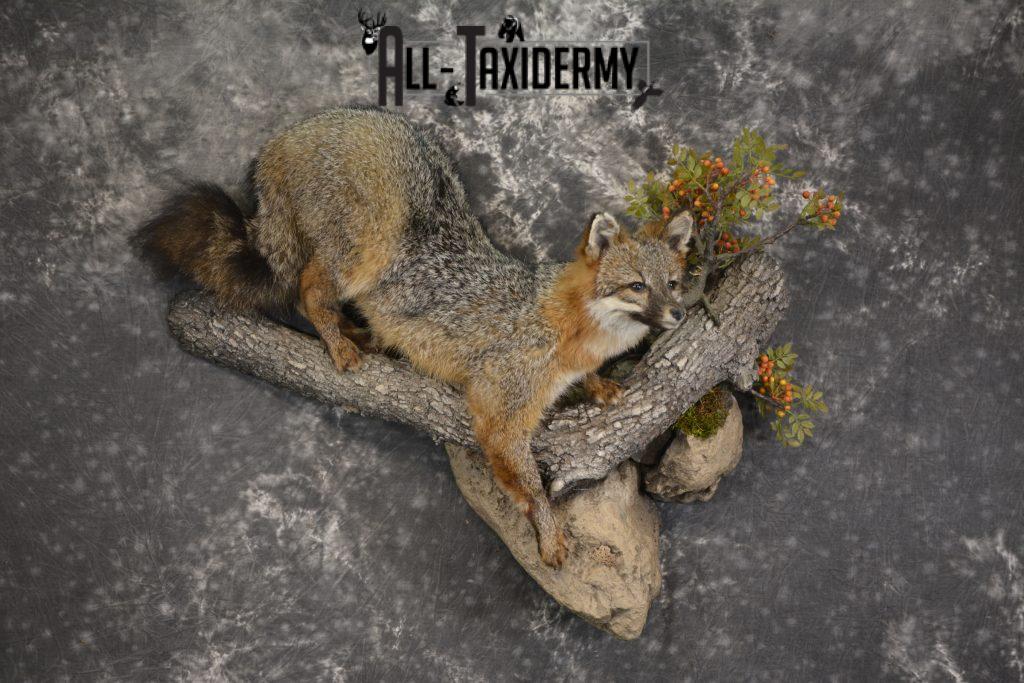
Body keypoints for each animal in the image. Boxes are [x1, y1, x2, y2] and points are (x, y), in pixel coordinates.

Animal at [141, 107, 692, 568]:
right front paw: (550, 533)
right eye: (637, 287)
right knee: (305, 290)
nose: (681, 312)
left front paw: (598, 384)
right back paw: (337, 340)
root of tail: (294, 132)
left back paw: (360, 333)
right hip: (362, 253)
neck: (568, 328)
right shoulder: (500, 411)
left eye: (673, 283)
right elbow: (532, 488)